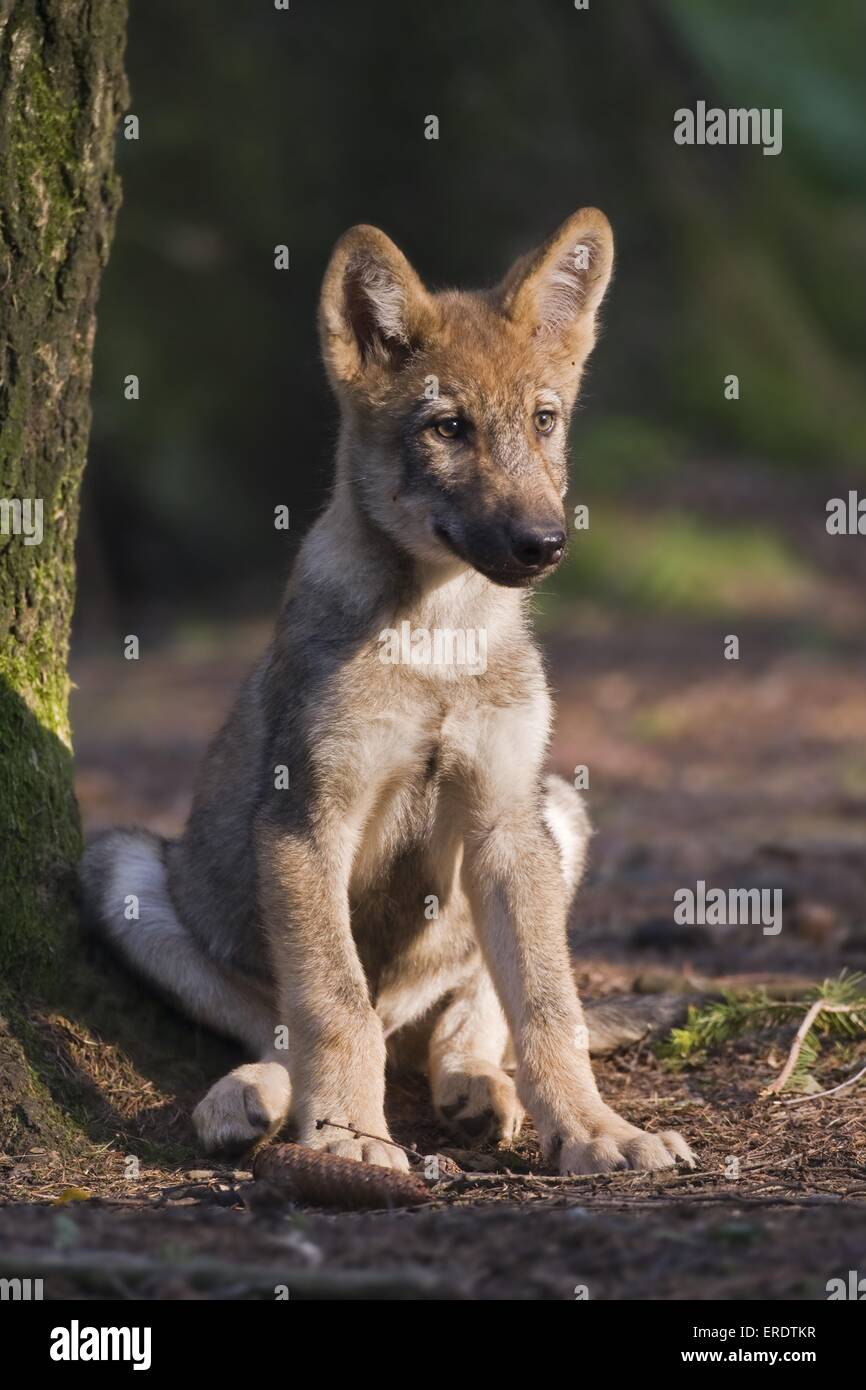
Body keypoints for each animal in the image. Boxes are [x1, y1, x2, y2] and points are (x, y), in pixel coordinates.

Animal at [81, 209, 693, 1175]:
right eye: (447, 428)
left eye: (545, 420)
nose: (544, 542)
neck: (438, 636)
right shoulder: (306, 823)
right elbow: (333, 1006)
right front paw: (348, 1139)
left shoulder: (504, 820)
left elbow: (547, 1009)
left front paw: (595, 1131)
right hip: (121, 867)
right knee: (296, 1025)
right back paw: (253, 1099)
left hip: (557, 815)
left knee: (464, 1018)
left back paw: (477, 1090)